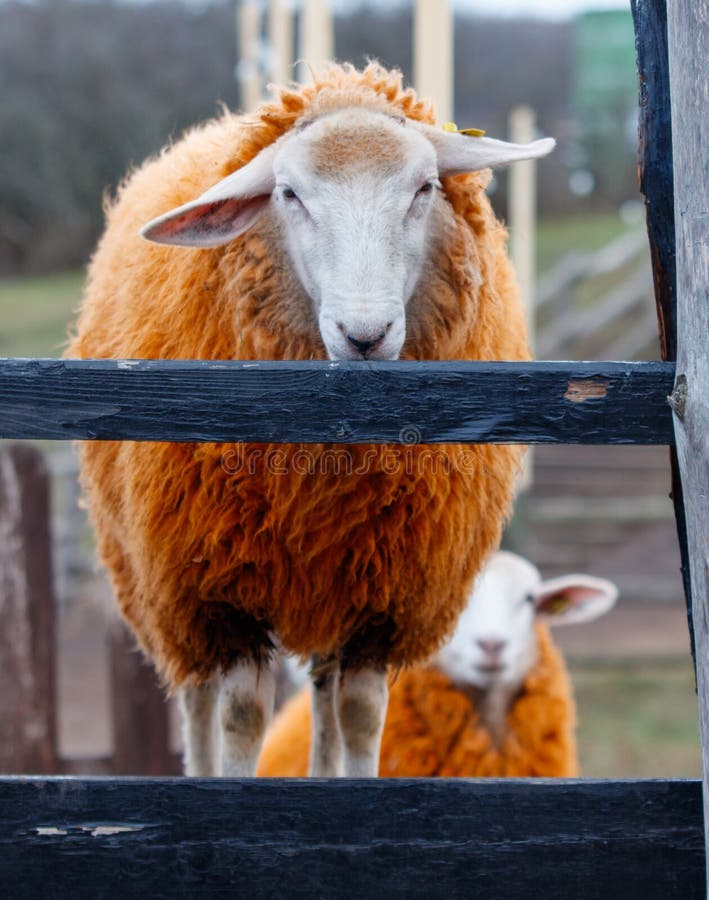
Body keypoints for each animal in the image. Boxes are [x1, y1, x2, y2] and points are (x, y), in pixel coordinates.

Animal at [67, 63, 555, 778]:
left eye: (425, 188)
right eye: (289, 195)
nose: (365, 335)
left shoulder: (384, 599)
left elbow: (361, 716)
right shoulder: (221, 595)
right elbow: (243, 718)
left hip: (328, 593)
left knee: (323, 699)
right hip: (162, 589)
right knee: (197, 703)